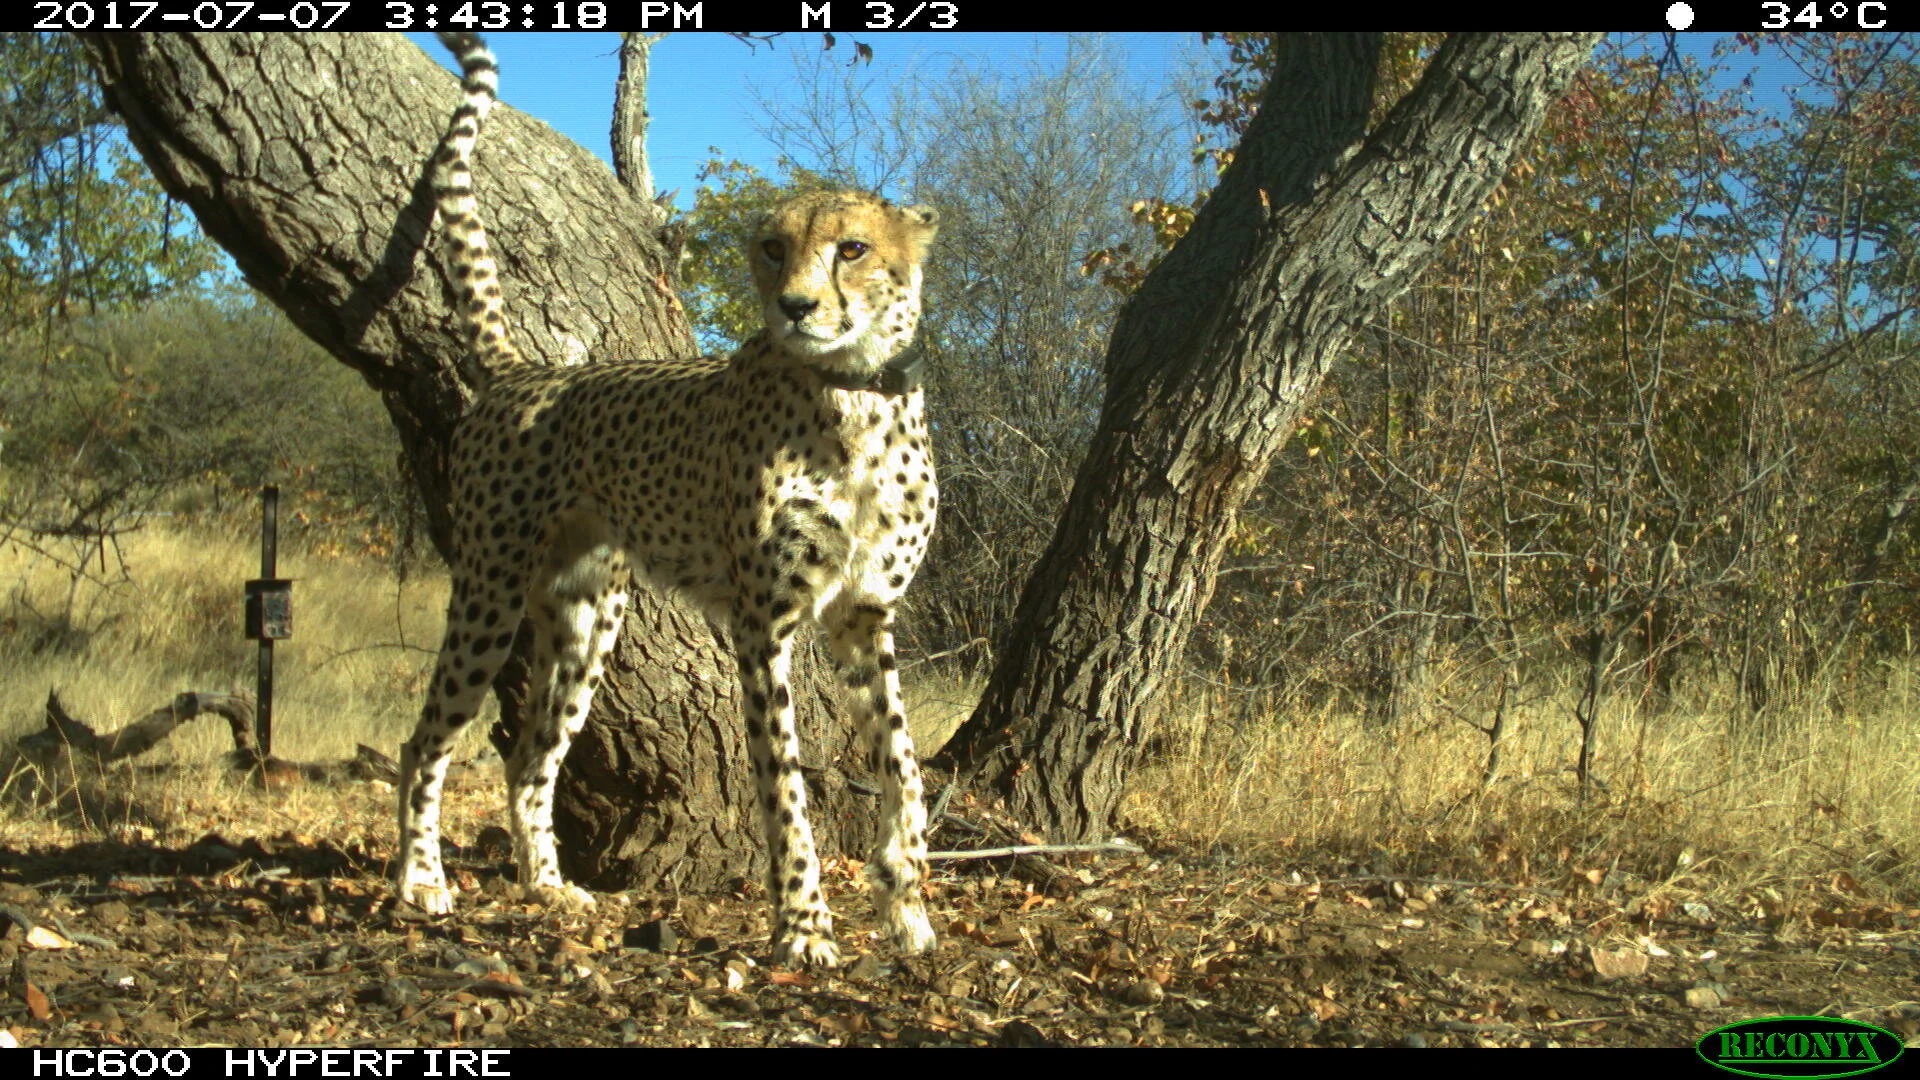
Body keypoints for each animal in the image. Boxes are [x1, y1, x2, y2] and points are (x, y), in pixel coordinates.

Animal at [395, 31, 940, 968]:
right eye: (771, 246)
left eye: (853, 249)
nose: (795, 306)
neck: (856, 390)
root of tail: (524, 370)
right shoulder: (765, 624)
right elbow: (785, 788)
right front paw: (804, 927)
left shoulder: (864, 614)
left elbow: (903, 765)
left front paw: (907, 907)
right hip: (488, 591)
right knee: (425, 741)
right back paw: (422, 882)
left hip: (588, 618)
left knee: (530, 760)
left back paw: (548, 886)